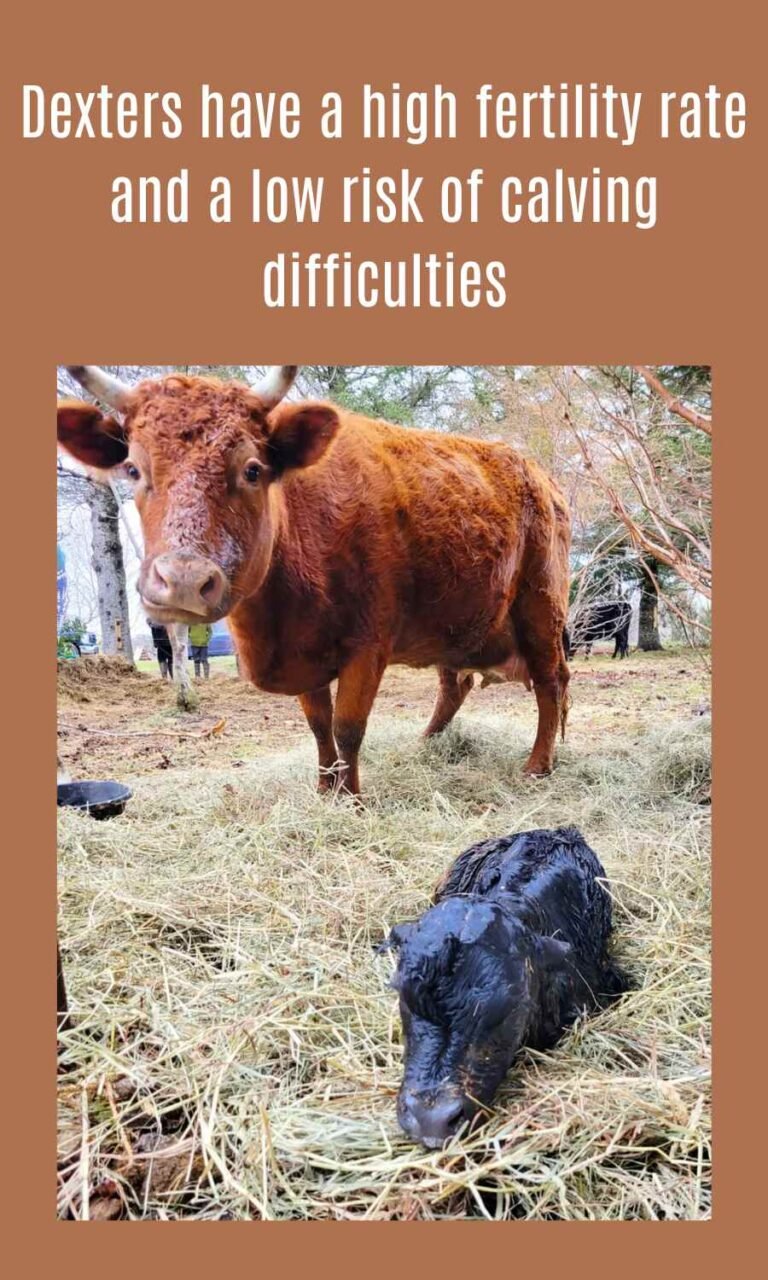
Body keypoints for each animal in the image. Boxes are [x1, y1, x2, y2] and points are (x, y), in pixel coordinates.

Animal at [57, 365, 571, 794]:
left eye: (252, 469)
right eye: (132, 469)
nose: (184, 580)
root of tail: (540, 476)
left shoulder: (367, 646)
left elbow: (348, 726)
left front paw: (353, 798)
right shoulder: (305, 654)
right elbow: (320, 726)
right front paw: (326, 789)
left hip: (540, 608)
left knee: (551, 682)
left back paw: (537, 764)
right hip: (456, 622)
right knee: (455, 686)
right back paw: (425, 744)